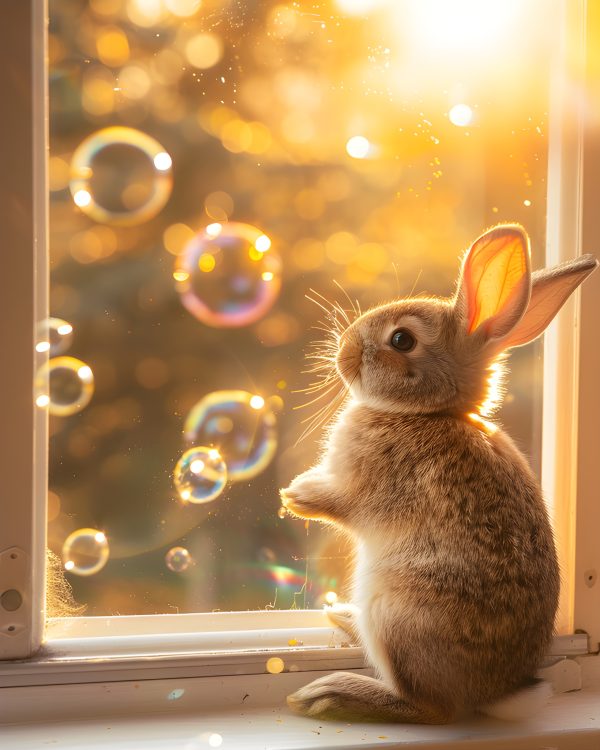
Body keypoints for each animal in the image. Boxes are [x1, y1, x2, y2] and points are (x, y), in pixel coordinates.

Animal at [280, 224, 598, 724]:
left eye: (401, 341)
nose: (344, 349)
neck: (429, 413)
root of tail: (493, 694)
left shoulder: (361, 486)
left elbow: (340, 503)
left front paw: (297, 496)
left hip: (396, 616)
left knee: (429, 708)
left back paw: (332, 693)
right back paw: (344, 618)